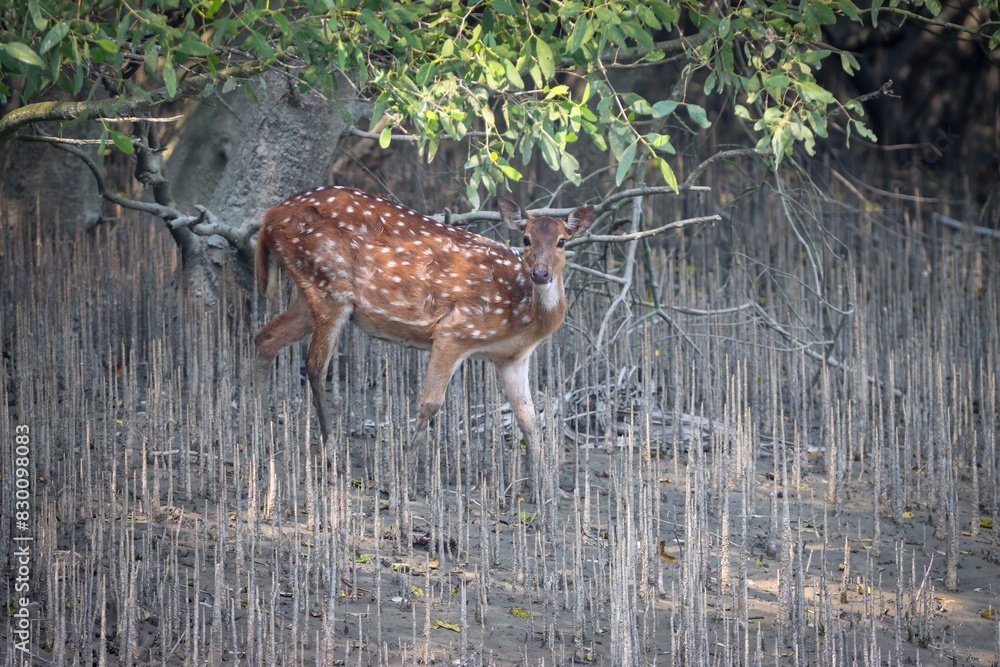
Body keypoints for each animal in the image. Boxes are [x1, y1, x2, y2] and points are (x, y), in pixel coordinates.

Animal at [254, 186, 593, 478]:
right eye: (525, 239)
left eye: (562, 241)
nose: (540, 273)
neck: (522, 314)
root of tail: (269, 217)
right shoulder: (454, 331)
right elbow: (430, 404)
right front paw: (405, 468)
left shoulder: (513, 358)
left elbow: (529, 418)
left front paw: (543, 484)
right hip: (329, 285)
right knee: (314, 365)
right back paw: (331, 451)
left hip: (310, 293)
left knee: (265, 338)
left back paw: (256, 427)